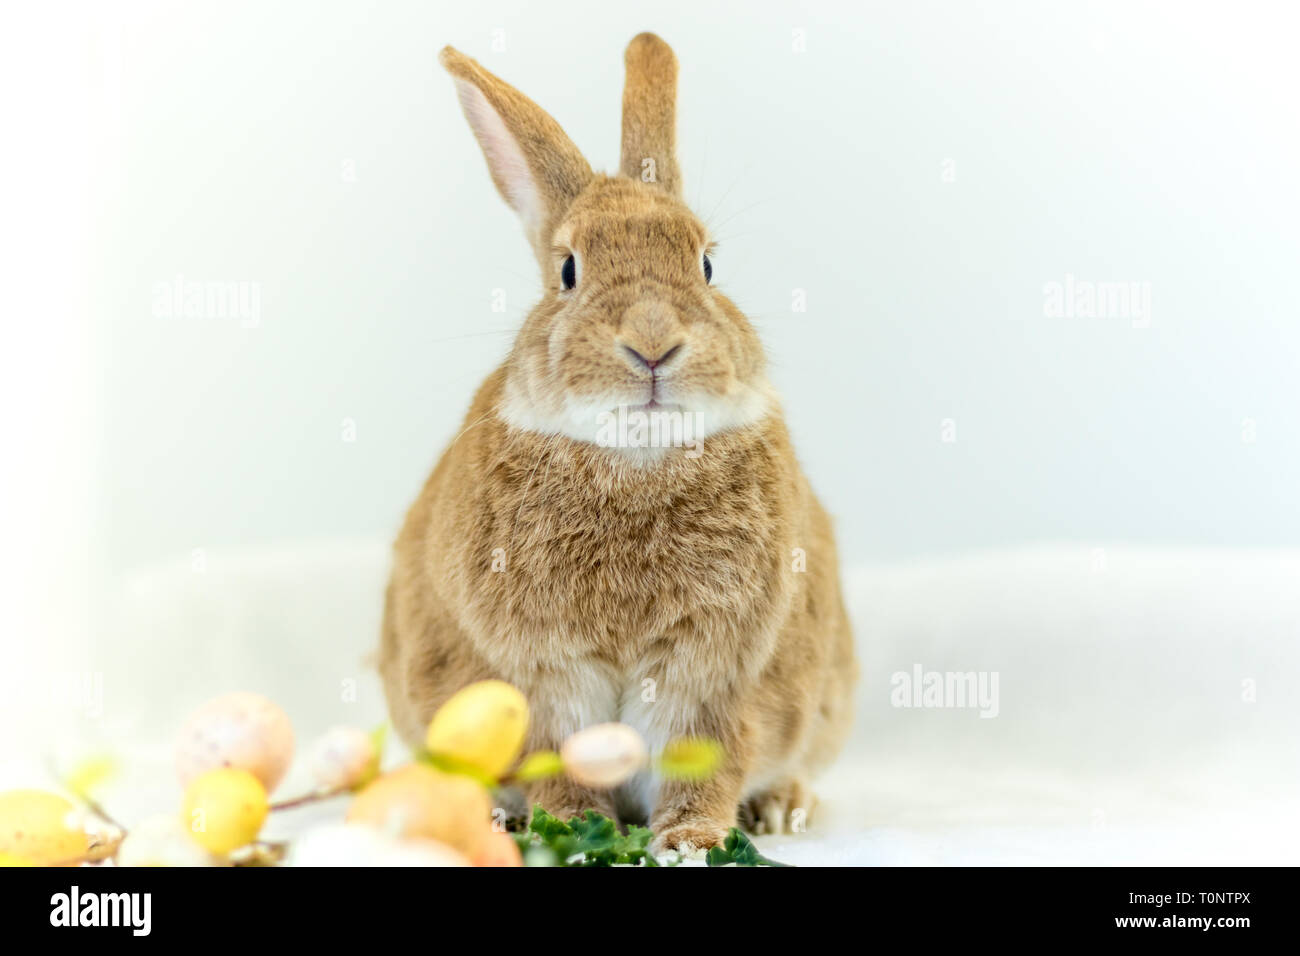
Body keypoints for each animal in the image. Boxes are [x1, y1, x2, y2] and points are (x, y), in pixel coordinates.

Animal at [380, 32, 857, 855]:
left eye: (707, 263)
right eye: (568, 270)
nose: (654, 343)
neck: (635, 459)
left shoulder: (711, 674)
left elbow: (707, 762)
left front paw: (690, 843)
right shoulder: (545, 676)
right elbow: (559, 757)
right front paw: (572, 830)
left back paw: (781, 806)